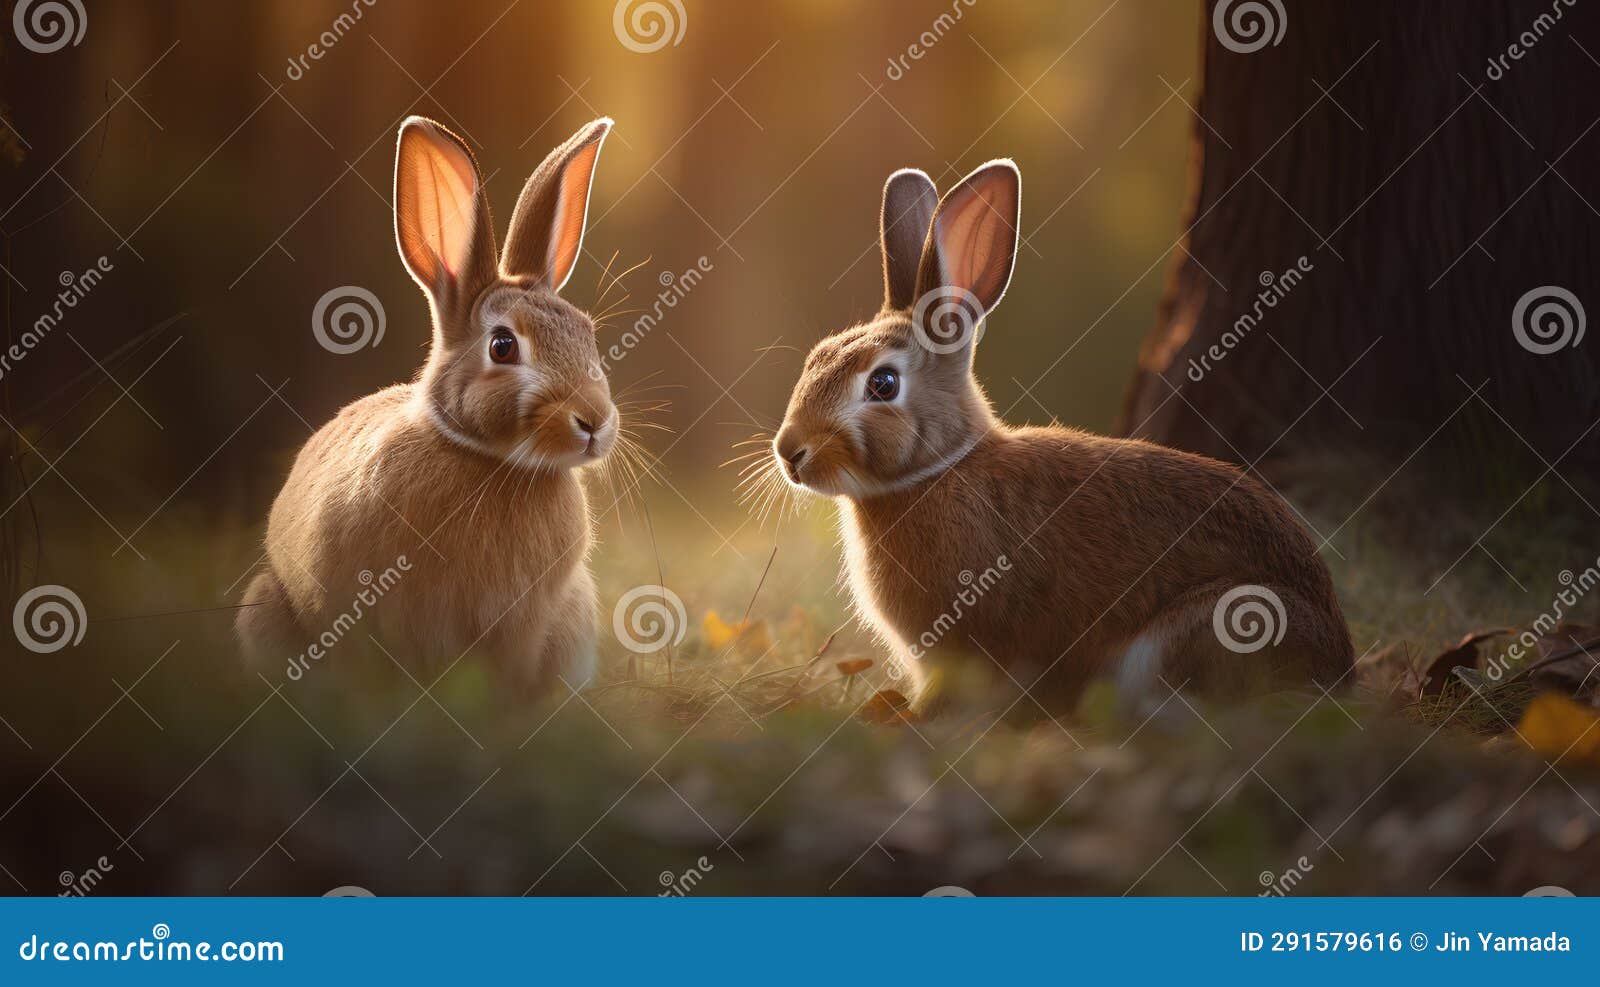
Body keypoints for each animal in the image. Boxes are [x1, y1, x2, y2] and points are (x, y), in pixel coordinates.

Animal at [771, 161, 1354, 716]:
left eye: (883, 384)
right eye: (817, 356)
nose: (789, 453)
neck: (939, 471)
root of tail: (1340, 659)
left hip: (1217, 621)